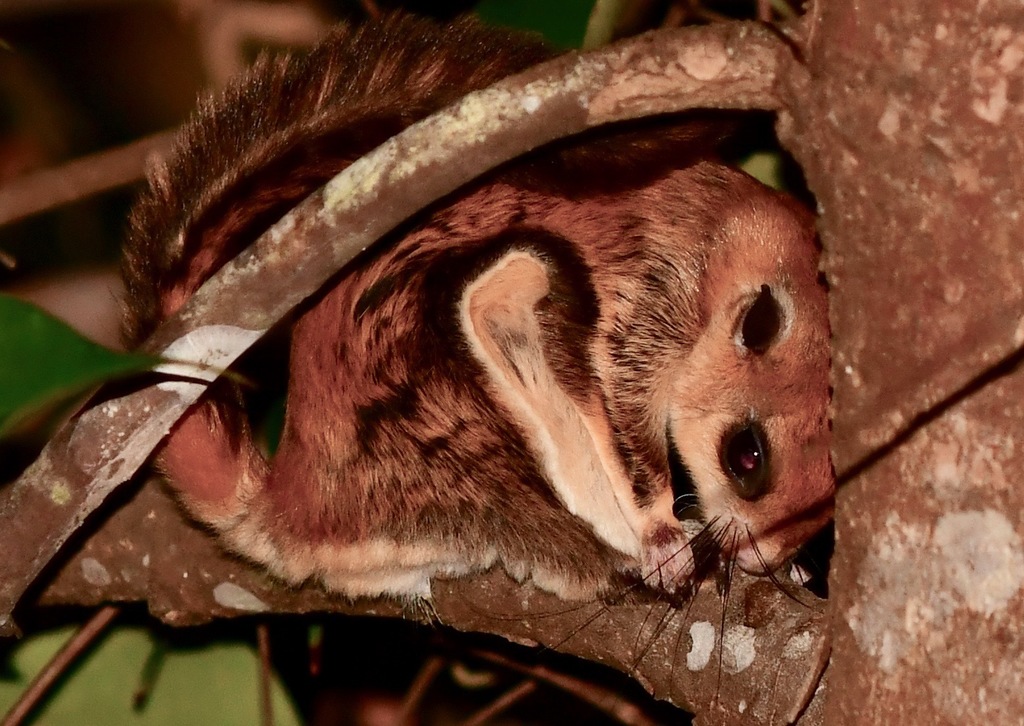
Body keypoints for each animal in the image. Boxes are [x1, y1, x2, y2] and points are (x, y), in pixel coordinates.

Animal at [122, 13, 832, 601]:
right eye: (746, 457)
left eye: (832, 497)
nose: (759, 556)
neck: (721, 247)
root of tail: (285, 504)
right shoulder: (637, 318)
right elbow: (631, 444)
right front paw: (668, 531)